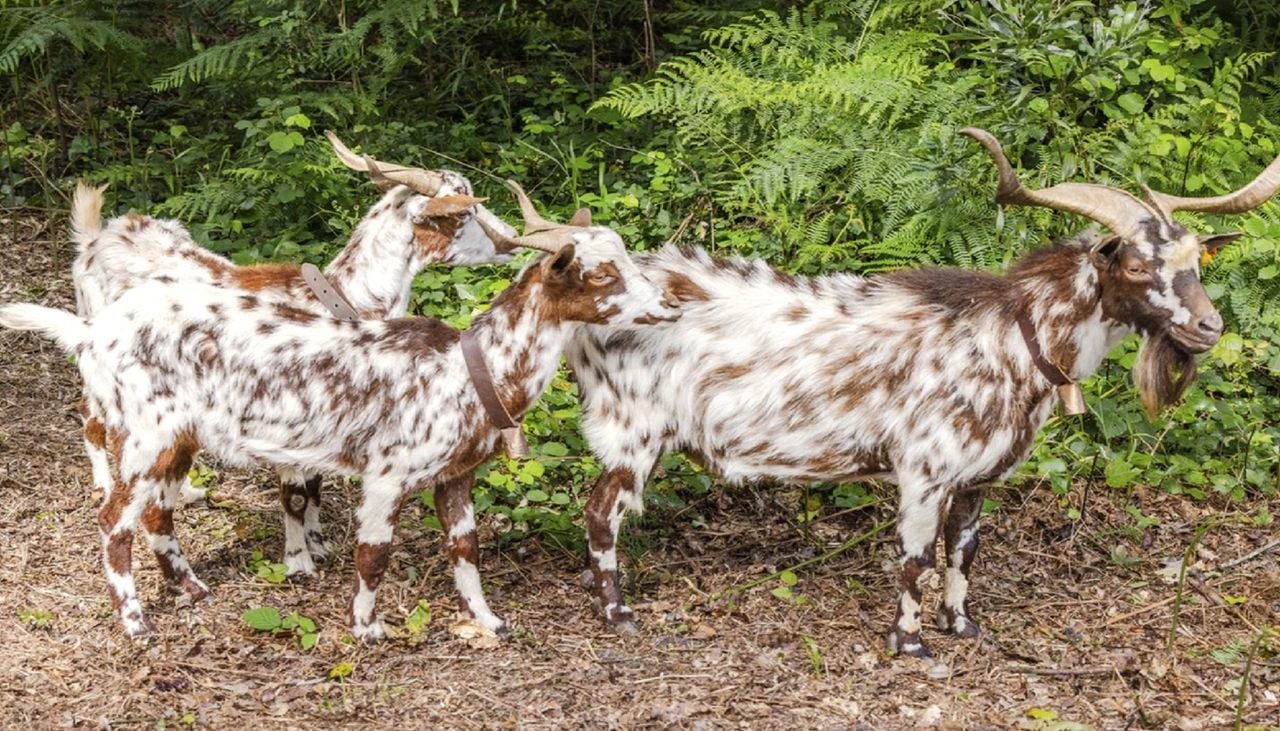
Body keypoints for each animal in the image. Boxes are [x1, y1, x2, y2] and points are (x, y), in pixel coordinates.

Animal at [1, 186, 681, 639]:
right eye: (602, 274)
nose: (670, 303)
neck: (472, 367)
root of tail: (94, 334)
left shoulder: (455, 476)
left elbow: (466, 549)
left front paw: (489, 621)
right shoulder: (388, 473)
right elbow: (371, 552)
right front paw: (364, 627)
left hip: (178, 437)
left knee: (155, 513)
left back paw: (189, 587)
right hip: (142, 434)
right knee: (112, 519)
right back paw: (136, 622)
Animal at [71, 132, 518, 577]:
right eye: (465, 210)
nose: (512, 239)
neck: (343, 298)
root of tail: (97, 237)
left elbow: (316, 485)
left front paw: (317, 544)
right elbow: (295, 494)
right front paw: (298, 560)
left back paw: (189, 492)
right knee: (90, 414)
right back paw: (103, 484)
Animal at [565, 128, 1280, 658]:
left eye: (1196, 261)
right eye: (1133, 265)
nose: (1208, 327)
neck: (1011, 335)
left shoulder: (977, 477)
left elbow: (963, 552)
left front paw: (961, 627)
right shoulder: (924, 471)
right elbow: (914, 558)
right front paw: (909, 644)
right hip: (632, 432)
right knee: (601, 512)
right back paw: (617, 614)